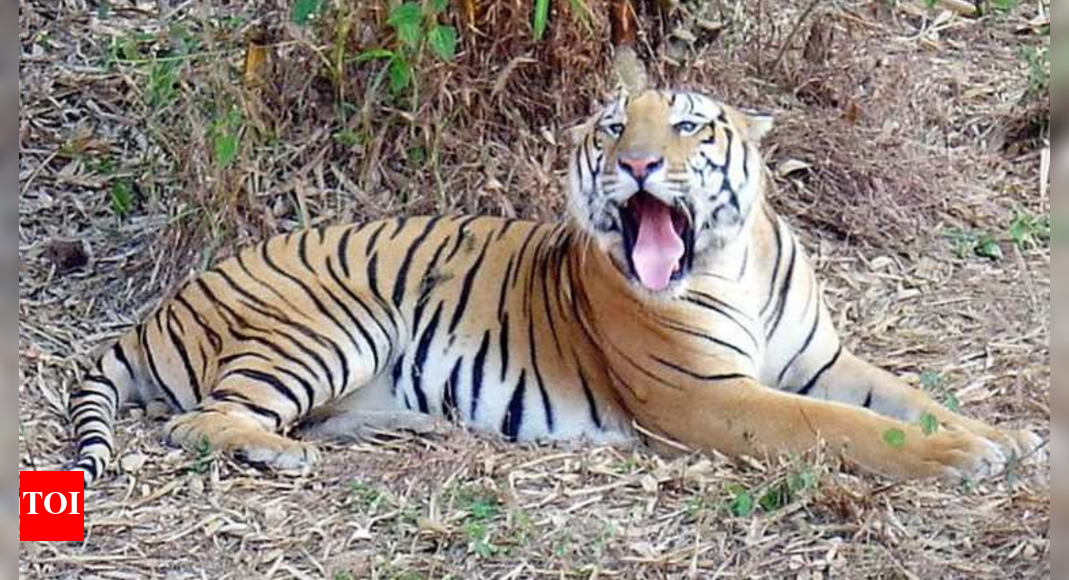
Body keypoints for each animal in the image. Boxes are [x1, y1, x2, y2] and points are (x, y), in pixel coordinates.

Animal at [68, 85, 1044, 488]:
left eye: (688, 127)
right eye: (612, 126)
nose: (636, 163)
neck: (732, 259)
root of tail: (167, 302)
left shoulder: (821, 359)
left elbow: (909, 398)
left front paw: (1004, 435)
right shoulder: (709, 397)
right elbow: (841, 427)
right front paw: (959, 459)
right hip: (324, 325)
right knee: (200, 421)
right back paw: (279, 454)